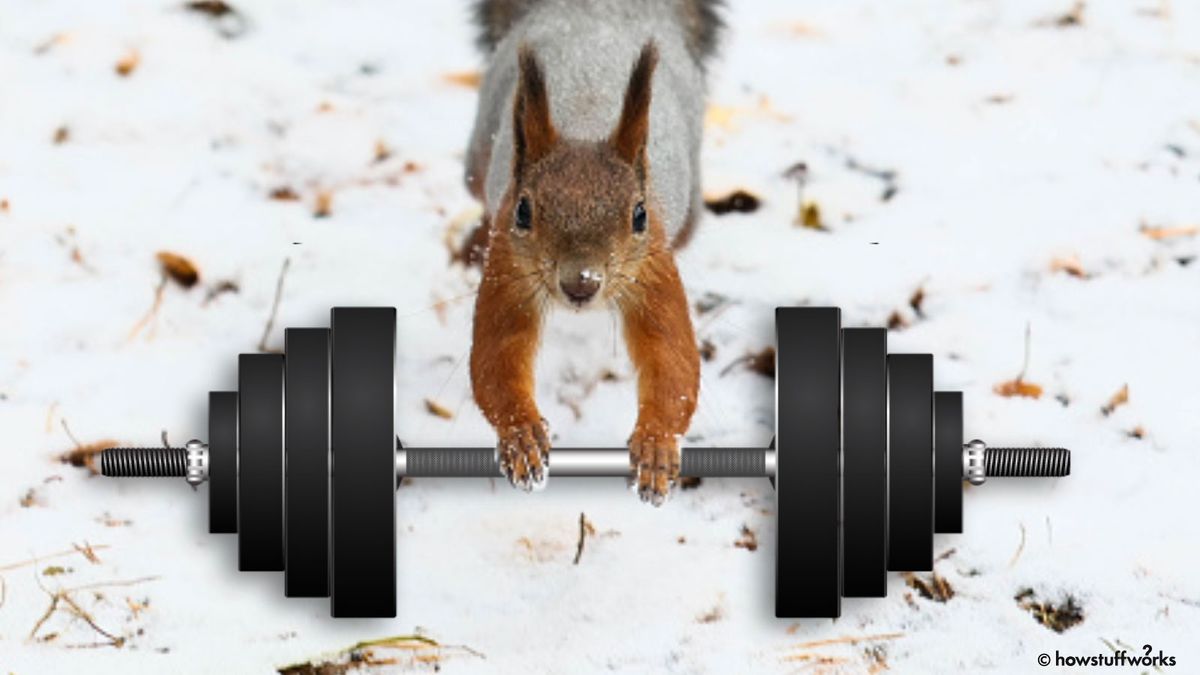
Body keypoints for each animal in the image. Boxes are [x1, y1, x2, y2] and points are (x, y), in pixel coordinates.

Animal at [464, 0, 722, 506]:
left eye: (639, 215)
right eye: (523, 211)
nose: (580, 283)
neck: (584, 125)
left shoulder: (652, 267)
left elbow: (671, 360)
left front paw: (656, 446)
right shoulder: (510, 267)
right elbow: (496, 355)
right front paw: (521, 435)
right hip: (478, 153)